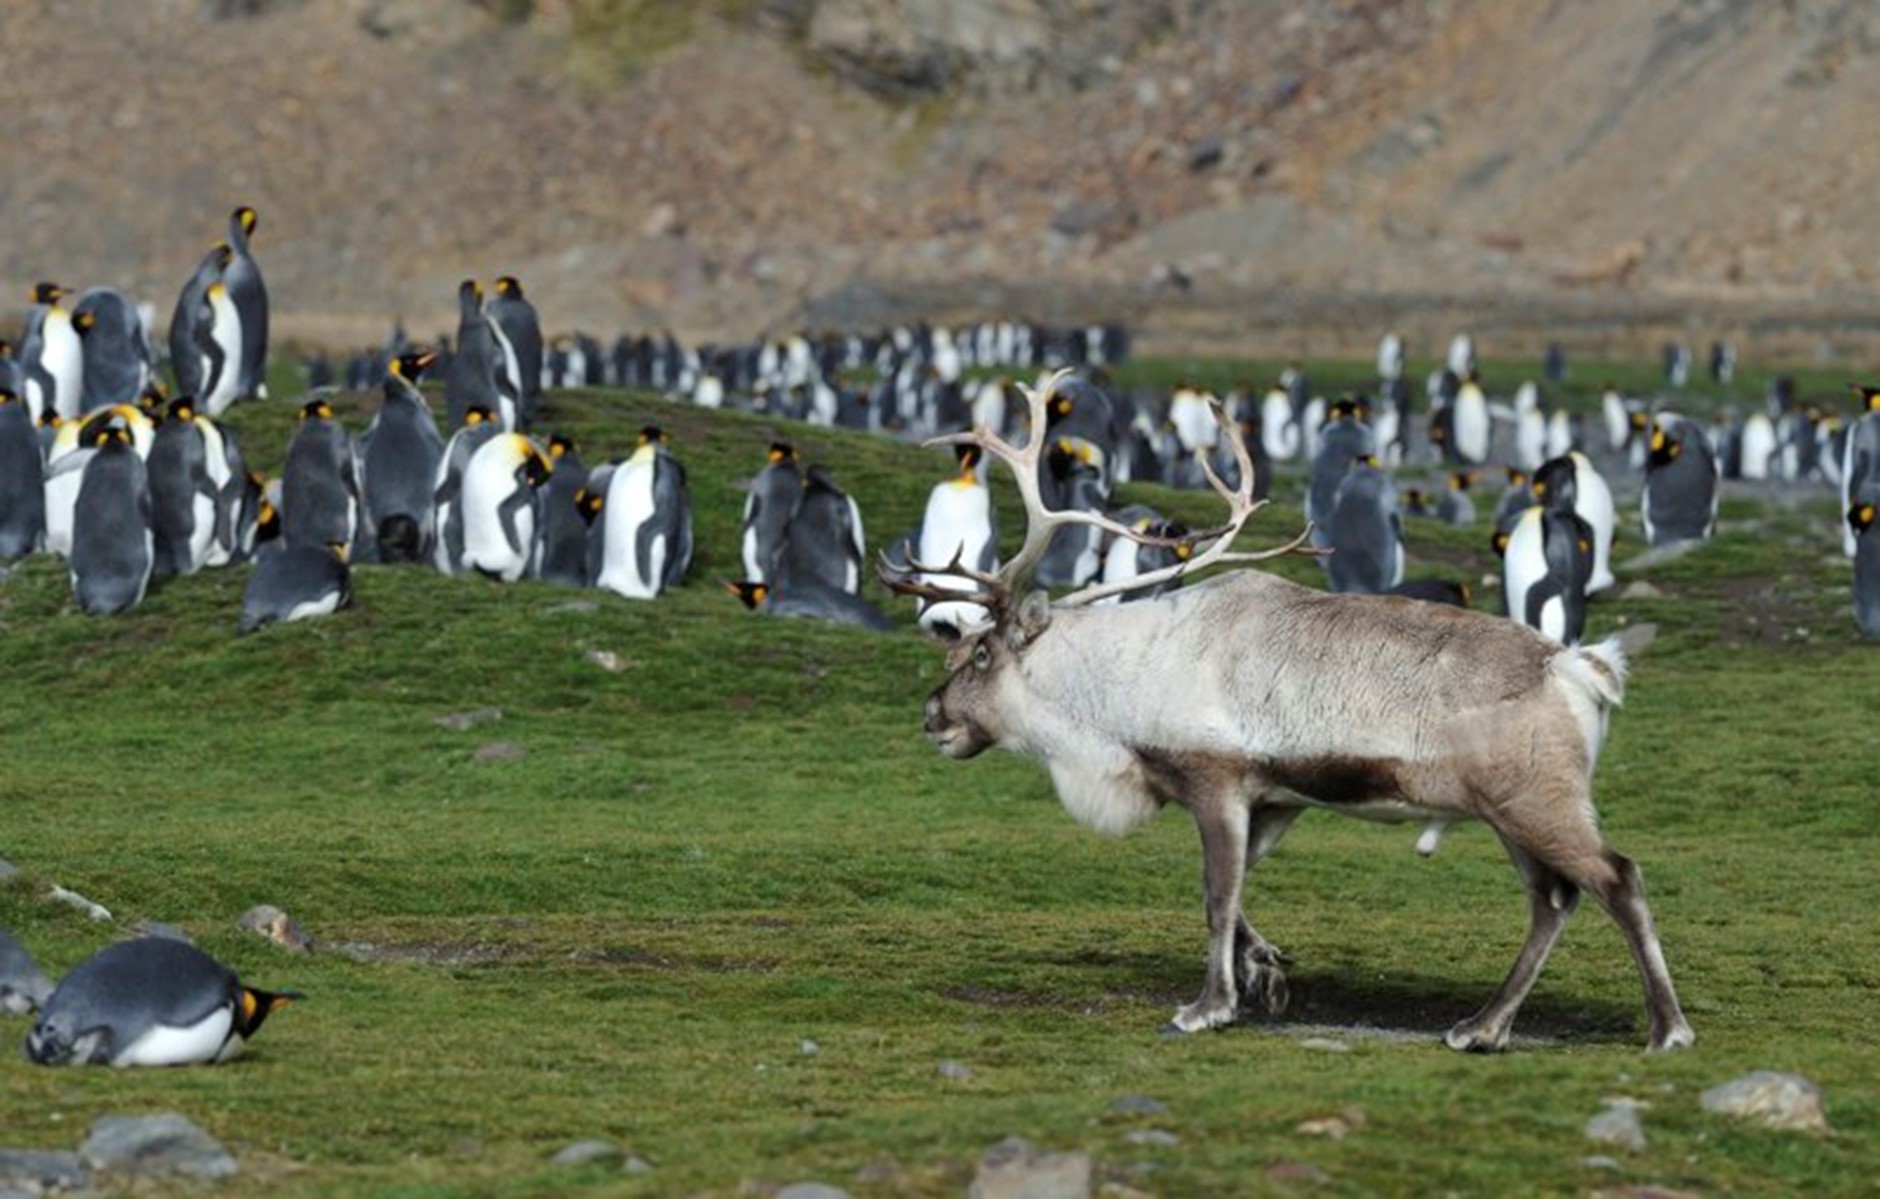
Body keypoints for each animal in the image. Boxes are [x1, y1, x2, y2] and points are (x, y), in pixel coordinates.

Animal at [882, 369, 1694, 1053]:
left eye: (979, 654)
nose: (931, 716)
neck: (1122, 684)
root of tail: (1582, 669)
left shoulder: (1215, 781)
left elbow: (1216, 894)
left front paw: (1207, 1006)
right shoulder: (1271, 800)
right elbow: (1232, 891)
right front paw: (1265, 970)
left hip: (1538, 801)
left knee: (1617, 878)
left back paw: (1666, 1029)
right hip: (1509, 814)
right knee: (1554, 900)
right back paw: (1482, 1026)